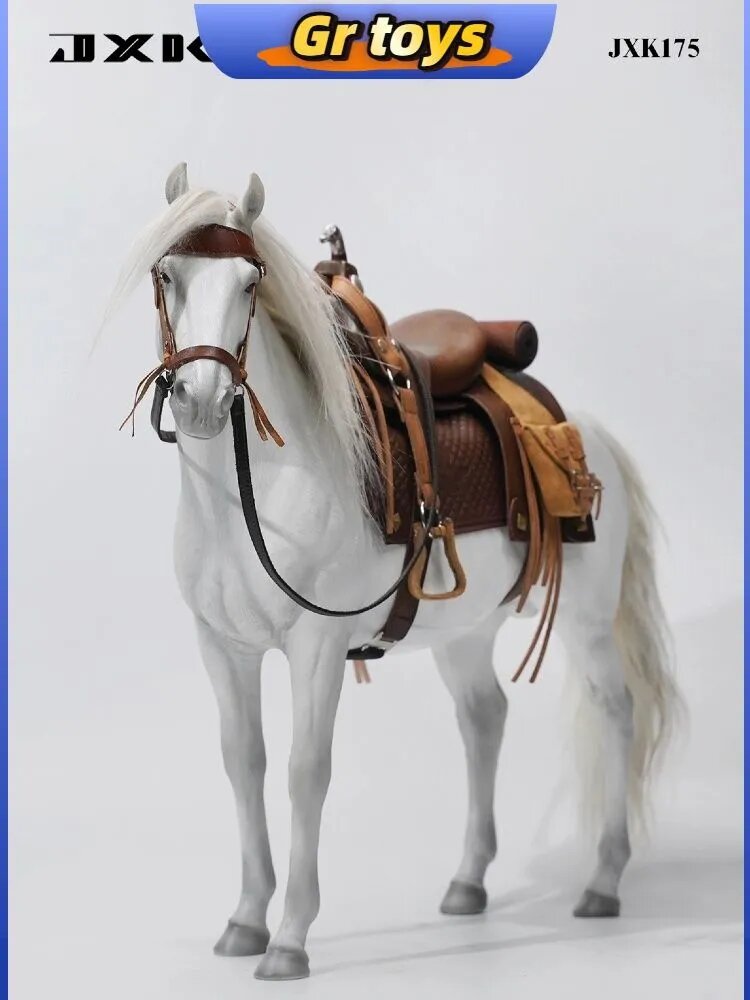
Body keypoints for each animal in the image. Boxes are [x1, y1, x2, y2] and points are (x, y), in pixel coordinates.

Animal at [109, 163, 680, 981]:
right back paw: (468, 882)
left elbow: (304, 771)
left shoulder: (315, 647)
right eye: (166, 273)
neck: (249, 500)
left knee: (615, 710)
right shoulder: (222, 646)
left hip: (587, 619)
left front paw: (289, 940)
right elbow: (243, 763)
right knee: (484, 718)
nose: (202, 400)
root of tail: (589, 430)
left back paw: (602, 881)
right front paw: (245, 921)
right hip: (466, 632)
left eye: (250, 281)